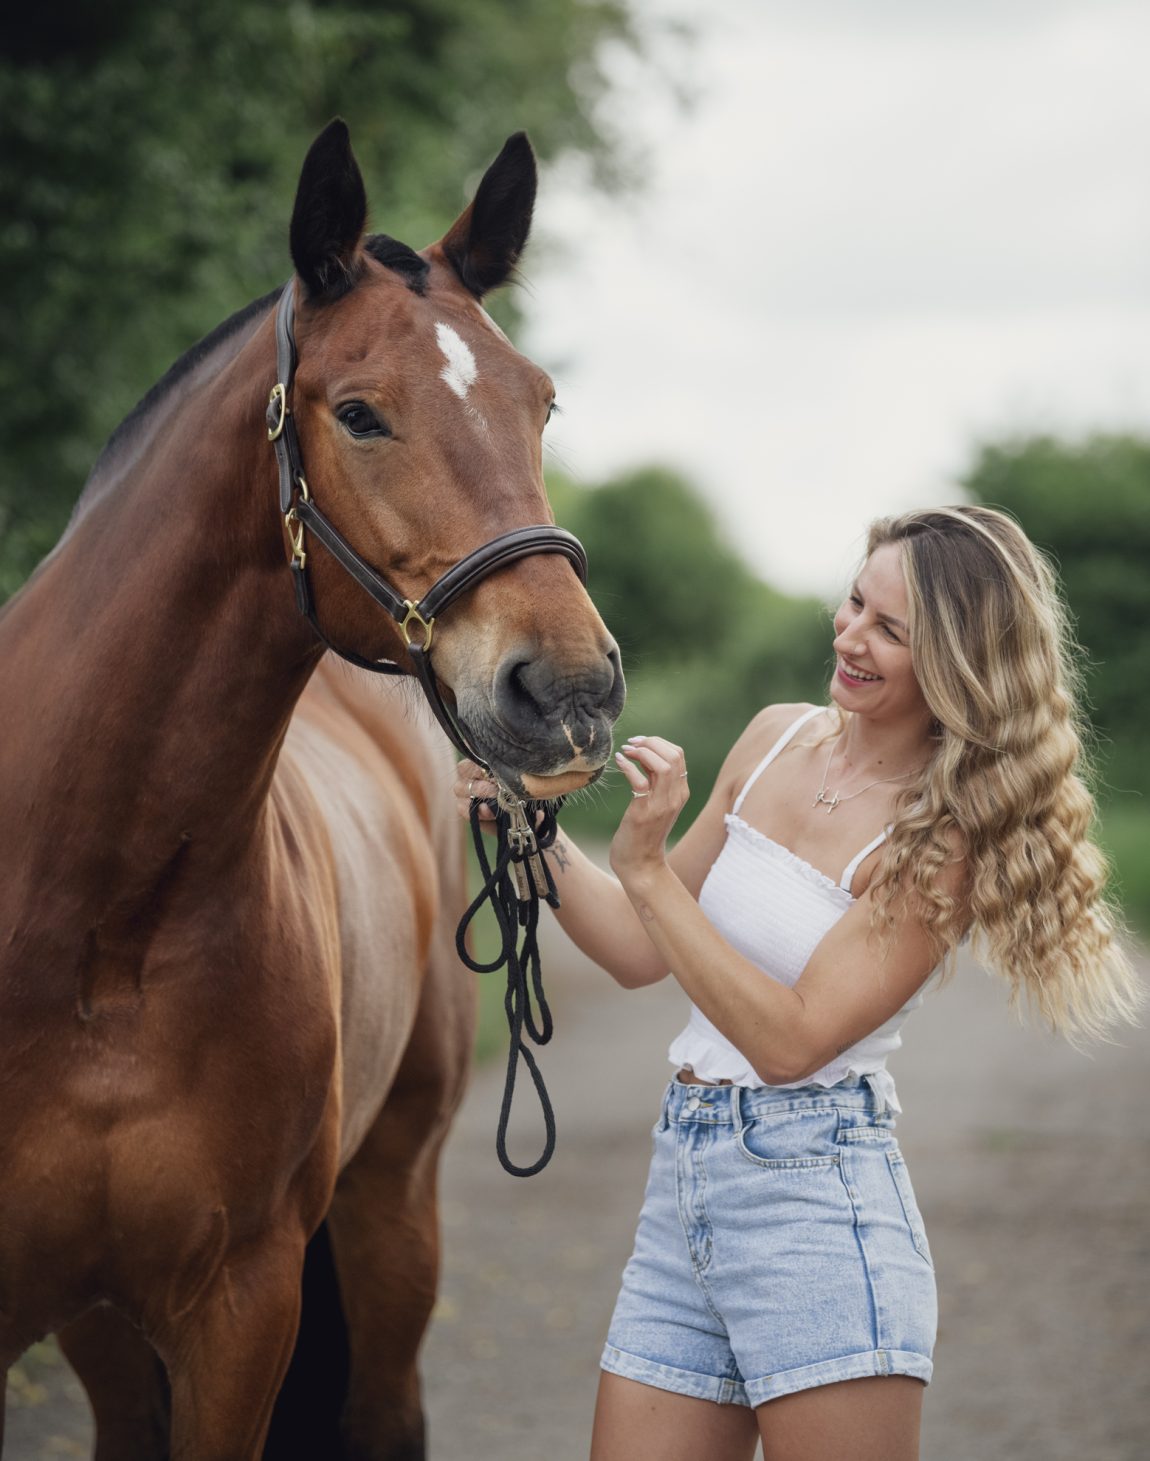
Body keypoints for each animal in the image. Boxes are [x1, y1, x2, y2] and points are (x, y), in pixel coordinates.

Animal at [0, 119, 624, 1459]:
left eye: (541, 402)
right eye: (359, 414)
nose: (571, 692)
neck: (91, 922)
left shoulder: (242, 1309)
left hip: (390, 1218)